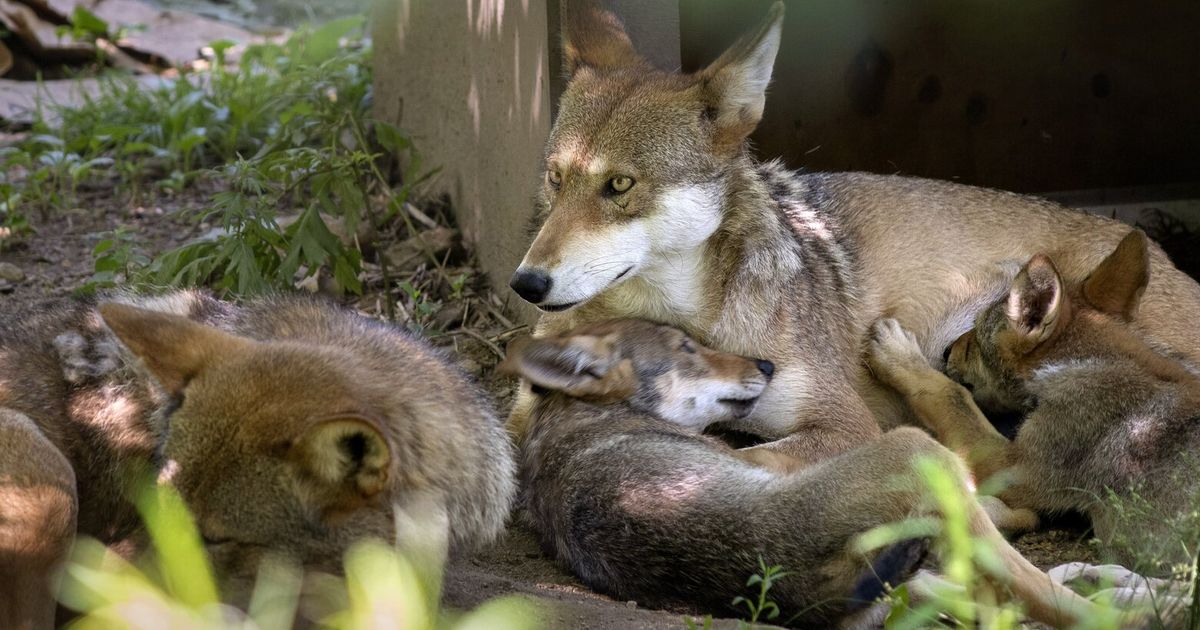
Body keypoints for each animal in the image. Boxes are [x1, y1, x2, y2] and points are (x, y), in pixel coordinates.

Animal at [506, 0, 1200, 470]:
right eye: (555, 179)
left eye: (619, 185)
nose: (526, 283)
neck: (691, 322)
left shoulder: (845, 425)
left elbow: (739, 459)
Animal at [869, 230, 1200, 572]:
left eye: (976, 335)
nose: (946, 350)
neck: (1085, 362)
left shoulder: (1014, 470)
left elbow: (951, 394)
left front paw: (901, 356)